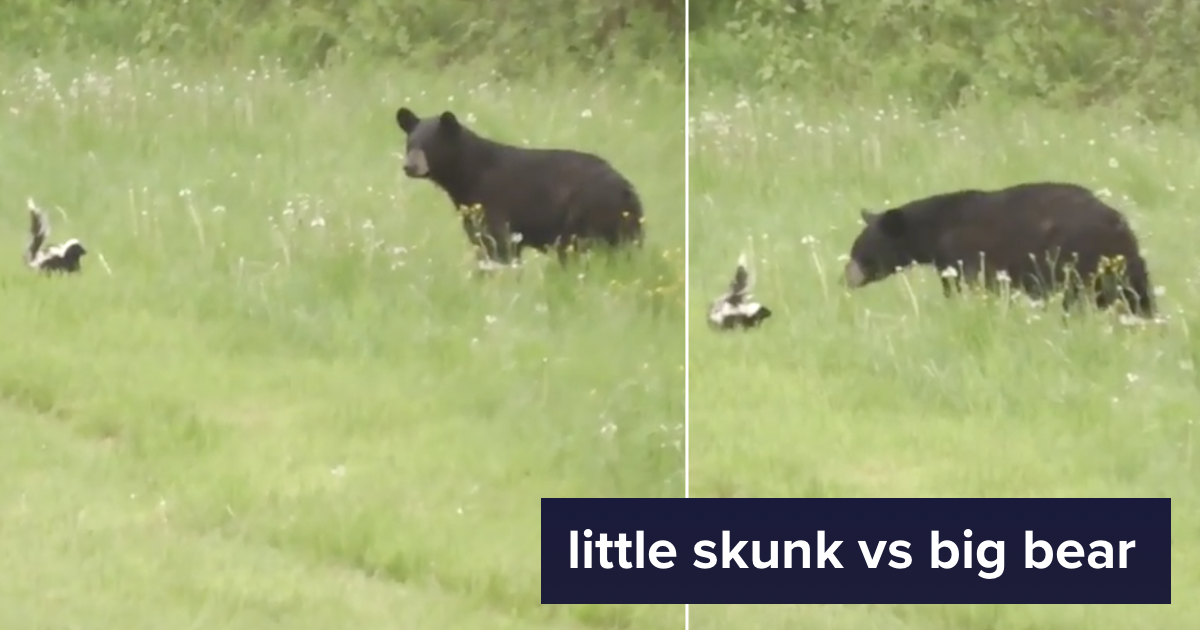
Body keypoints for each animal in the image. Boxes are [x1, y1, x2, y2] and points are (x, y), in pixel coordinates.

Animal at [394, 107, 645, 266]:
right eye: (410, 143)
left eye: (430, 145)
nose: (409, 166)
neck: (468, 175)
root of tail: (627, 189)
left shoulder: (494, 203)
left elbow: (497, 245)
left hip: (584, 217)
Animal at [841, 181, 1155, 318]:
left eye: (860, 251)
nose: (846, 277)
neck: (937, 228)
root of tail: (1120, 225)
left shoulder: (962, 256)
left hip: (1077, 261)